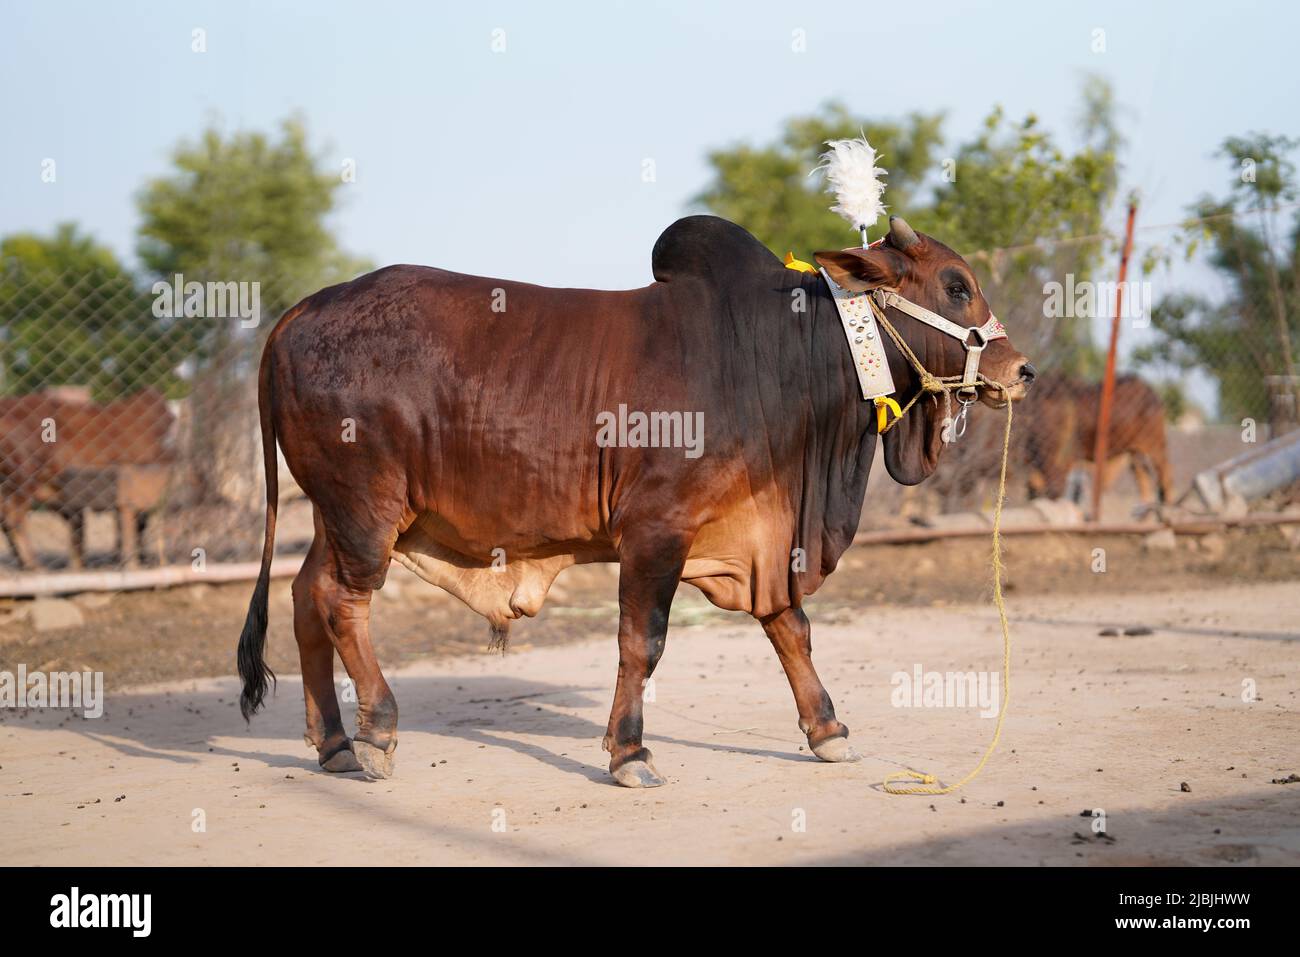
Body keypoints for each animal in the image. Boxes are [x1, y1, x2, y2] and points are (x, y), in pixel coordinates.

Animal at [237, 214, 1035, 786]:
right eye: (955, 285)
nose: (1020, 369)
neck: (776, 357)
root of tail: (296, 314)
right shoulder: (656, 530)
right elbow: (641, 641)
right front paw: (630, 753)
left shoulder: (760, 536)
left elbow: (791, 629)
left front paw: (828, 732)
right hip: (365, 509)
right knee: (342, 602)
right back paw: (376, 731)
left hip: (333, 514)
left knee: (306, 596)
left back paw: (333, 743)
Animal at [1023, 373, 1173, 510]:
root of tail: (1151, 393)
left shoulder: (1057, 469)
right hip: (1135, 455)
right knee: (1145, 486)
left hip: (1155, 448)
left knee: (1165, 480)